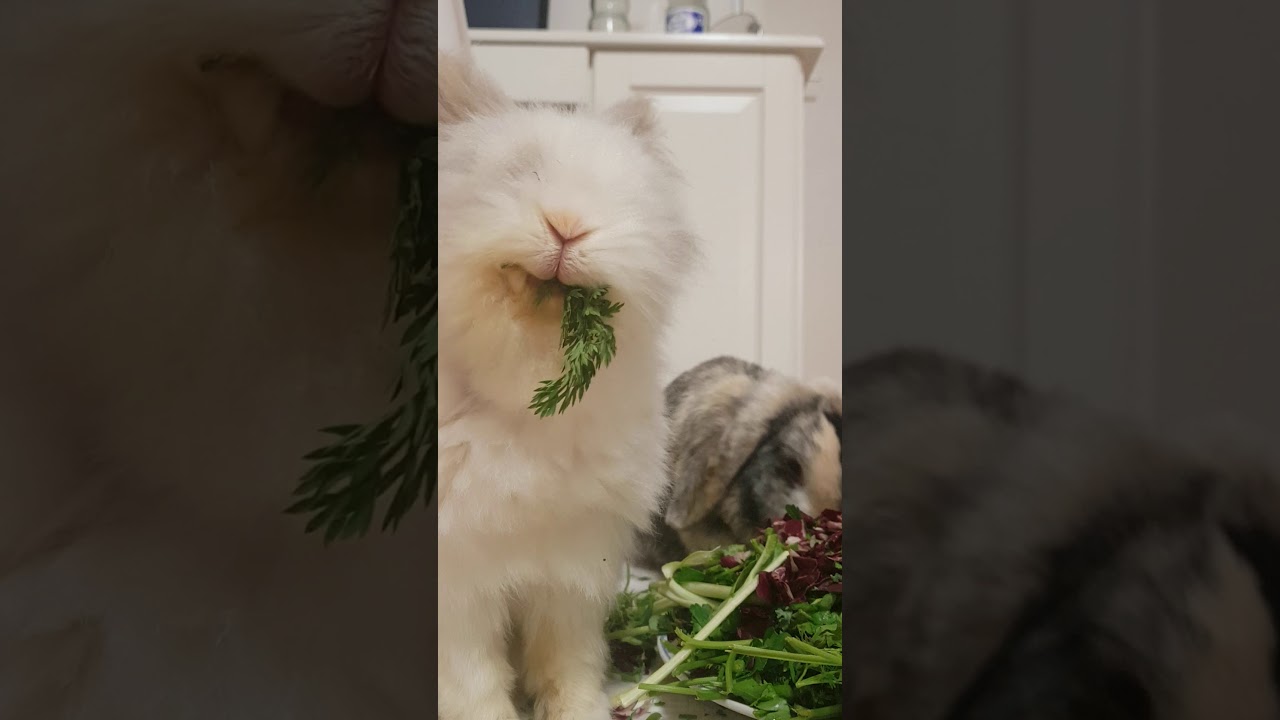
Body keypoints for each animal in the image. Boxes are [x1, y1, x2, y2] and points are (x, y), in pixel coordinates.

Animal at [436, 55, 698, 720]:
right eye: (518, 172)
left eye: (619, 196)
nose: (569, 227)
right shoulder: (460, 591)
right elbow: (473, 681)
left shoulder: (572, 577)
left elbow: (568, 662)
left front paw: (580, 710)